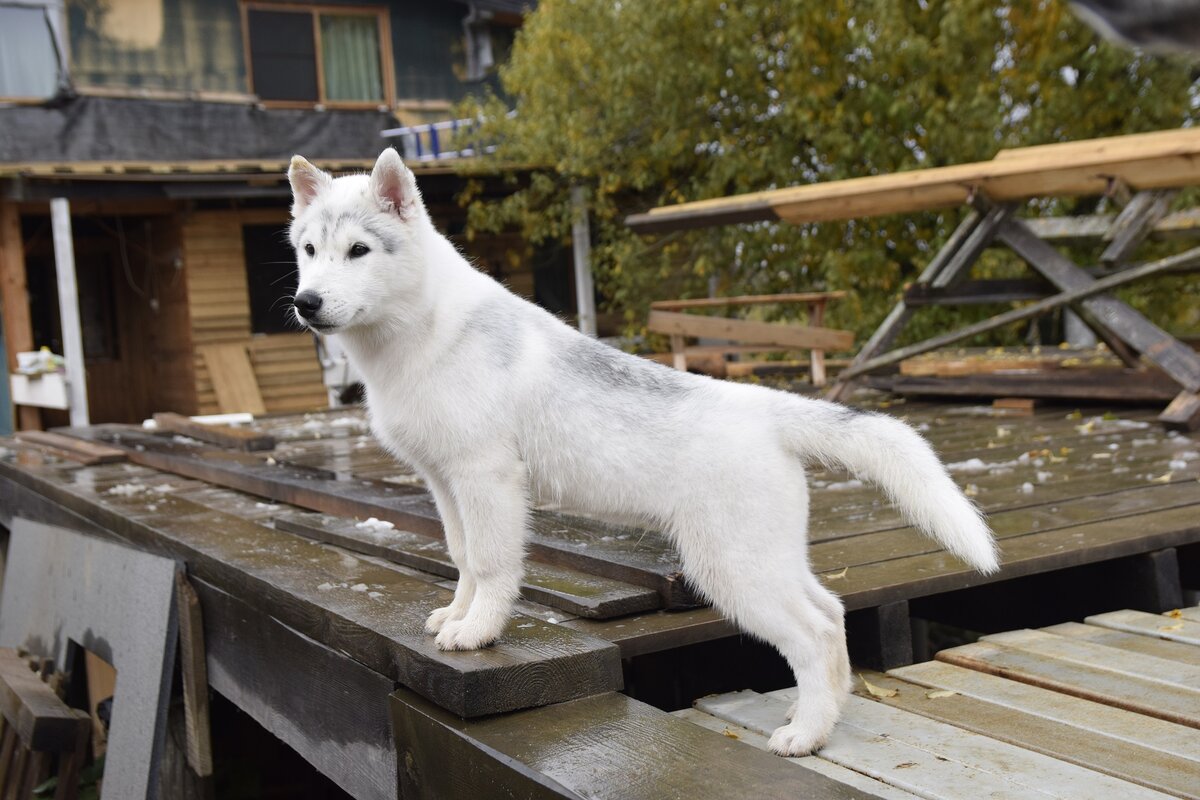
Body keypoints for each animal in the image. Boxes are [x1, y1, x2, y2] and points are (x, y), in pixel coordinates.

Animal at [285, 149, 998, 758]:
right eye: (308, 251)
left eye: (359, 251)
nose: (305, 303)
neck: (419, 330)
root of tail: (768, 409)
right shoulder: (444, 482)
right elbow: (462, 559)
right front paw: (455, 617)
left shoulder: (486, 477)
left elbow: (490, 565)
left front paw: (479, 631)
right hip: (767, 558)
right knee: (832, 614)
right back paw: (815, 716)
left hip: (731, 568)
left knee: (815, 633)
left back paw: (806, 737)